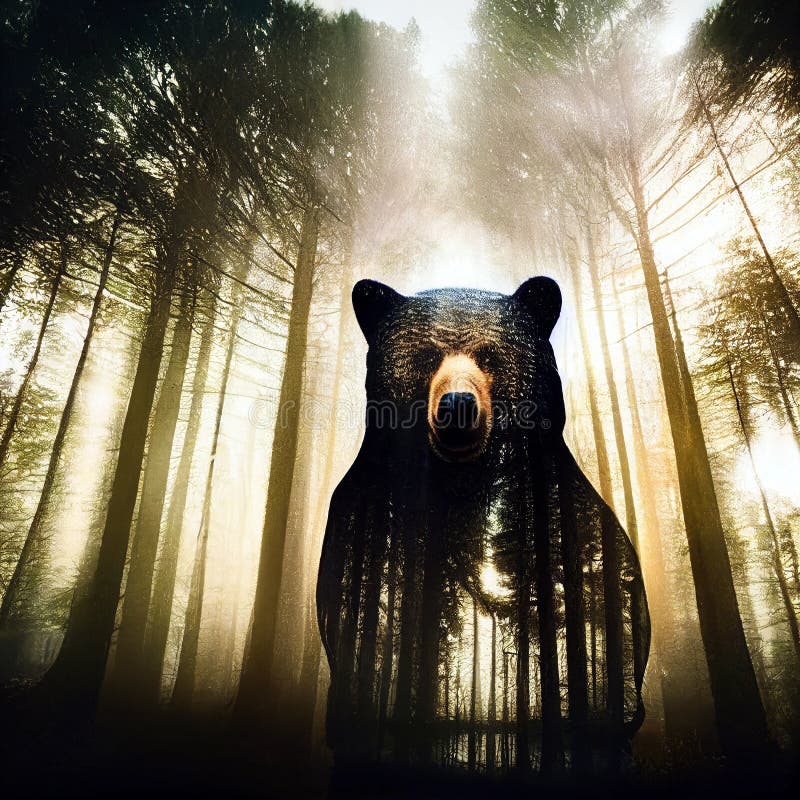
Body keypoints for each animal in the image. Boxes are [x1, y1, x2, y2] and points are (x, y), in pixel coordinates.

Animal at [316, 277, 650, 780]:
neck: (463, 486)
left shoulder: (560, 516)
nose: (457, 406)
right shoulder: (369, 519)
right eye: (425, 356)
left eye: (491, 355)